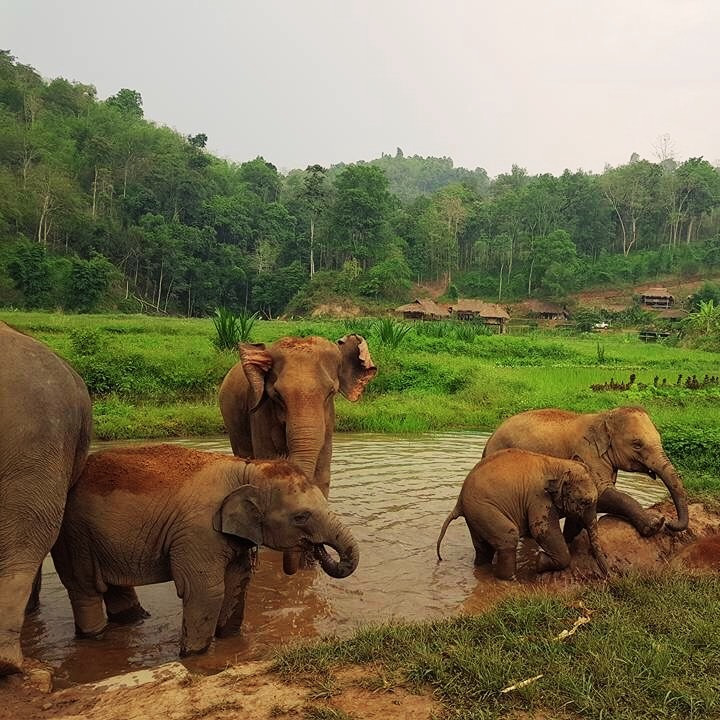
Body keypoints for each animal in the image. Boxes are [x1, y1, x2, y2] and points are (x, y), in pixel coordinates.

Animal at [51, 444, 360, 657]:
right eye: (301, 517)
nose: (318, 550)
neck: (248, 468)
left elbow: (237, 581)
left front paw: (229, 641)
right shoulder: (198, 530)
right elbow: (204, 590)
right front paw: (193, 655)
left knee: (115, 588)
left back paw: (133, 621)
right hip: (73, 535)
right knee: (85, 589)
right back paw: (94, 636)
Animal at [219, 334, 376, 573]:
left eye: (330, 392)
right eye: (277, 396)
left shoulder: (328, 422)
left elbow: (322, 475)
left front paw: (309, 568)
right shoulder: (260, 414)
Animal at [436, 448, 608, 580]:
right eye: (585, 502)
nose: (607, 576)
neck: (558, 464)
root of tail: (459, 501)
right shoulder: (538, 498)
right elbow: (540, 530)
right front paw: (539, 562)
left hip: (475, 516)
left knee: (483, 548)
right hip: (484, 509)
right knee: (509, 536)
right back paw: (510, 580)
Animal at [482, 406, 688, 538]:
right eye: (637, 444)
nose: (670, 522)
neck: (604, 416)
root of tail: (490, 438)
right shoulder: (586, 453)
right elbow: (601, 494)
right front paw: (654, 524)